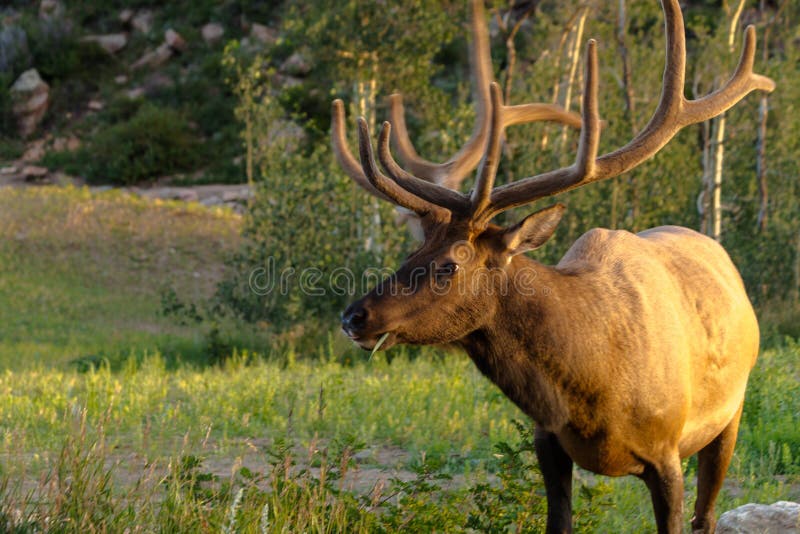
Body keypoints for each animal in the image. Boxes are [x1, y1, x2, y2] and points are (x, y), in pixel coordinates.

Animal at [332, 0, 775, 532]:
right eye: (410, 253)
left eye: (448, 265)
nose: (354, 316)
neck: (590, 386)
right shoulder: (548, 442)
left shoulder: (668, 453)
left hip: (732, 413)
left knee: (706, 514)